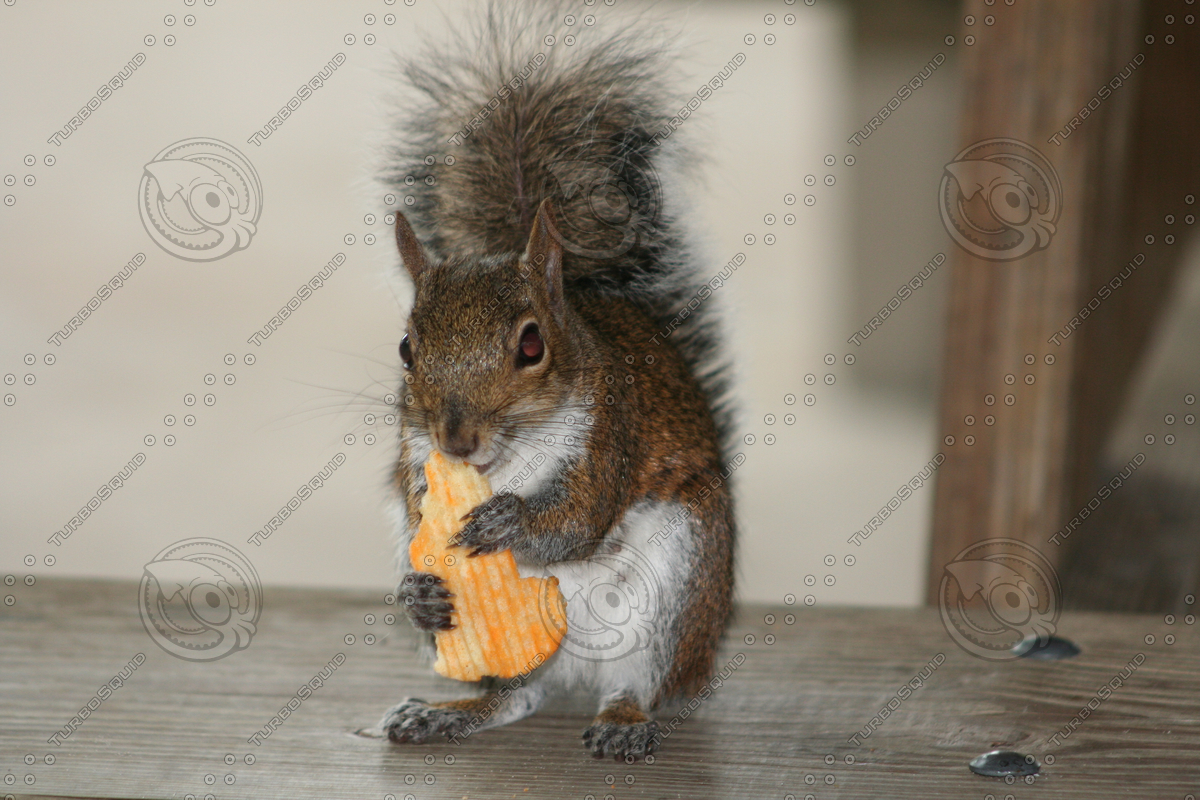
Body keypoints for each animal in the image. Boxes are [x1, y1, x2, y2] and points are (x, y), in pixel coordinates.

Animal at [378, 2, 736, 761]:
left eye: (532, 344)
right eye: (405, 349)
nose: (455, 441)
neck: (506, 460)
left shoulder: (611, 436)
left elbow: (576, 522)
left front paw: (511, 521)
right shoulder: (411, 456)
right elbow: (417, 511)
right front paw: (418, 591)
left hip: (682, 587)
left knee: (640, 681)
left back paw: (625, 721)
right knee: (517, 698)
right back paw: (450, 711)